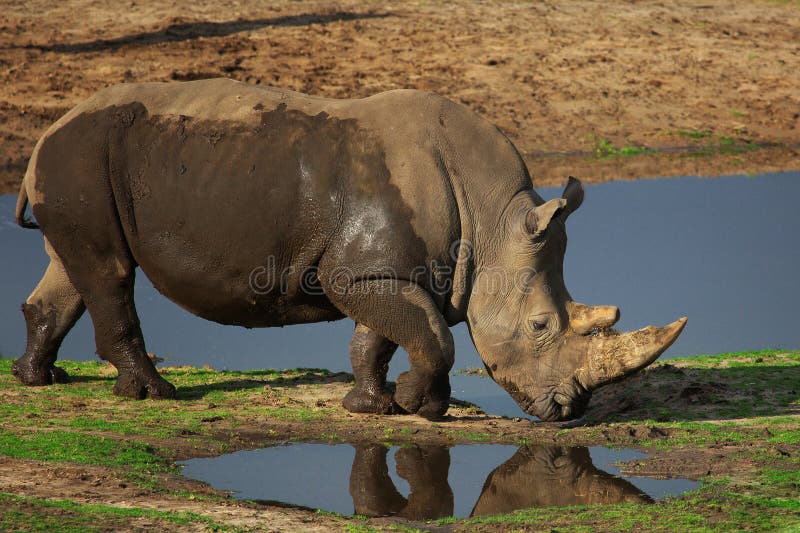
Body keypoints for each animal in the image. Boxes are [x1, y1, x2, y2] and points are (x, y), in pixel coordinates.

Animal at [12, 78, 686, 421]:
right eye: (542, 326)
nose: (570, 410)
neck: (495, 218)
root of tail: (48, 129)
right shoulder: (364, 273)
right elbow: (432, 337)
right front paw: (421, 407)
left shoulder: (387, 270)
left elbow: (383, 335)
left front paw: (372, 406)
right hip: (83, 154)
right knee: (109, 270)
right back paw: (153, 395)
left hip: (81, 162)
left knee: (73, 266)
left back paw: (38, 380)